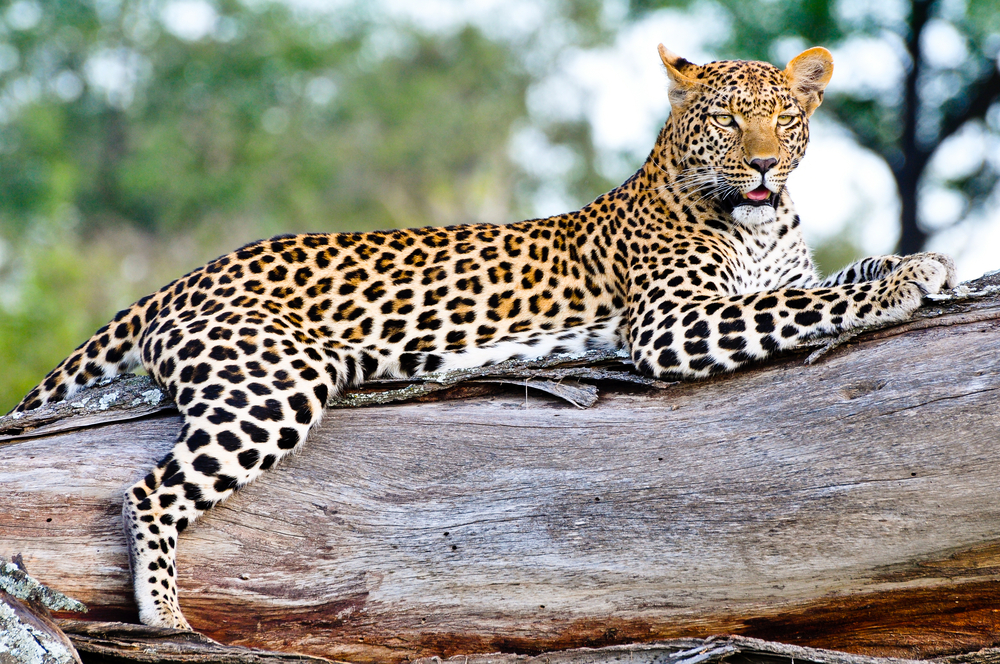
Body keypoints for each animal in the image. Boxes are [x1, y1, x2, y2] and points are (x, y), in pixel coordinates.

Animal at [7, 45, 956, 631]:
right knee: (148, 493)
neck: (759, 223)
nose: (763, 165)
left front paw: (926, 260)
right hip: (274, 382)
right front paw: (903, 285)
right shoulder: (675, 323)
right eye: (726, 120)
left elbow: (825, 281)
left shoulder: (773, 275)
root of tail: (183, 277)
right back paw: (166, 617)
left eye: (783, 120)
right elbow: (800, 309)